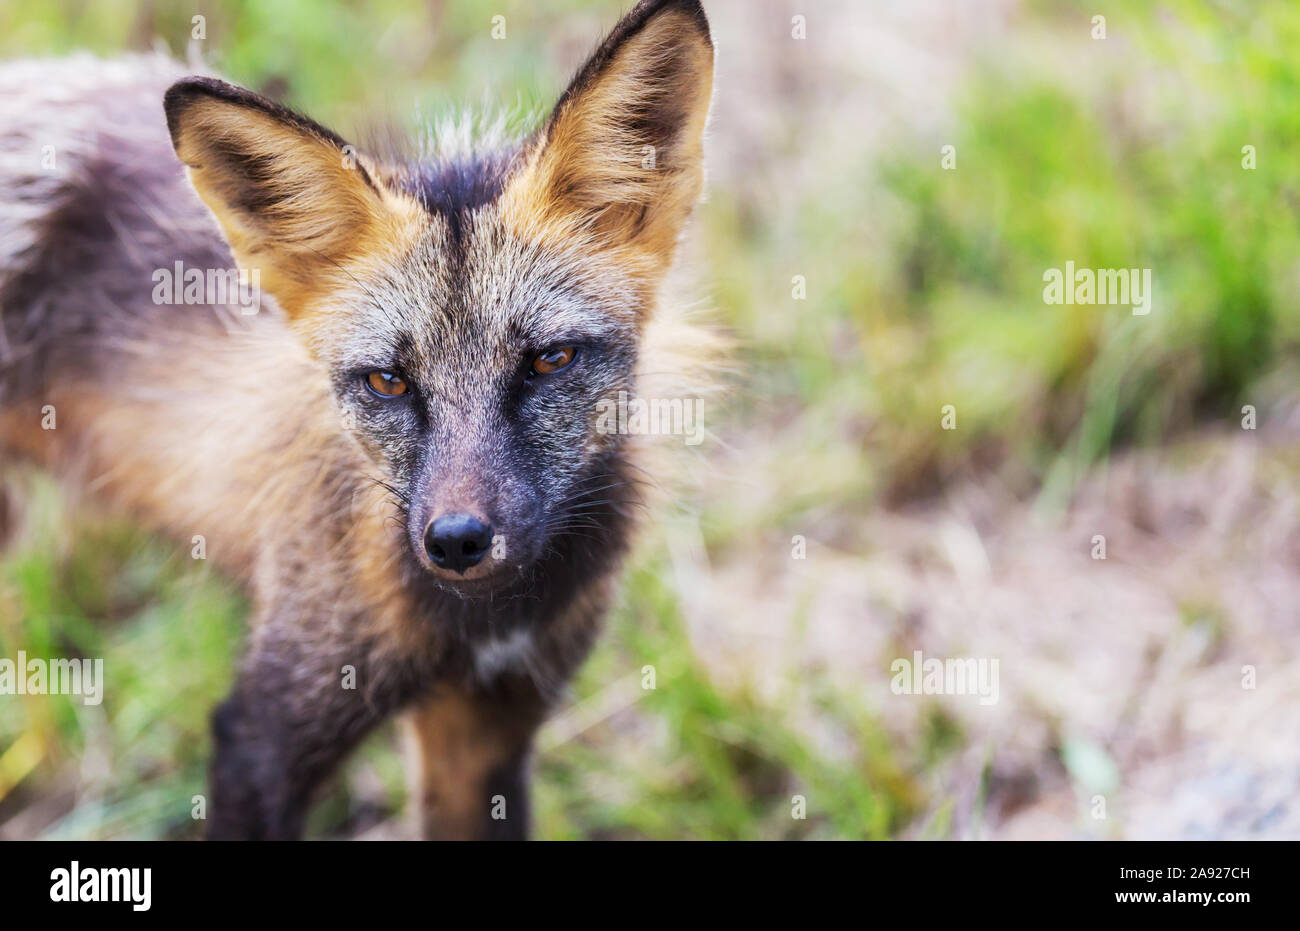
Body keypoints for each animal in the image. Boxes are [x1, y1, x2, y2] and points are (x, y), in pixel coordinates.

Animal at [0, 0, 716, 839]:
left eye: (550, 360)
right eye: (387, 381)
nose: (458, 541)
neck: (478, 625)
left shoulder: (487, 728)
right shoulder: (264, 728)